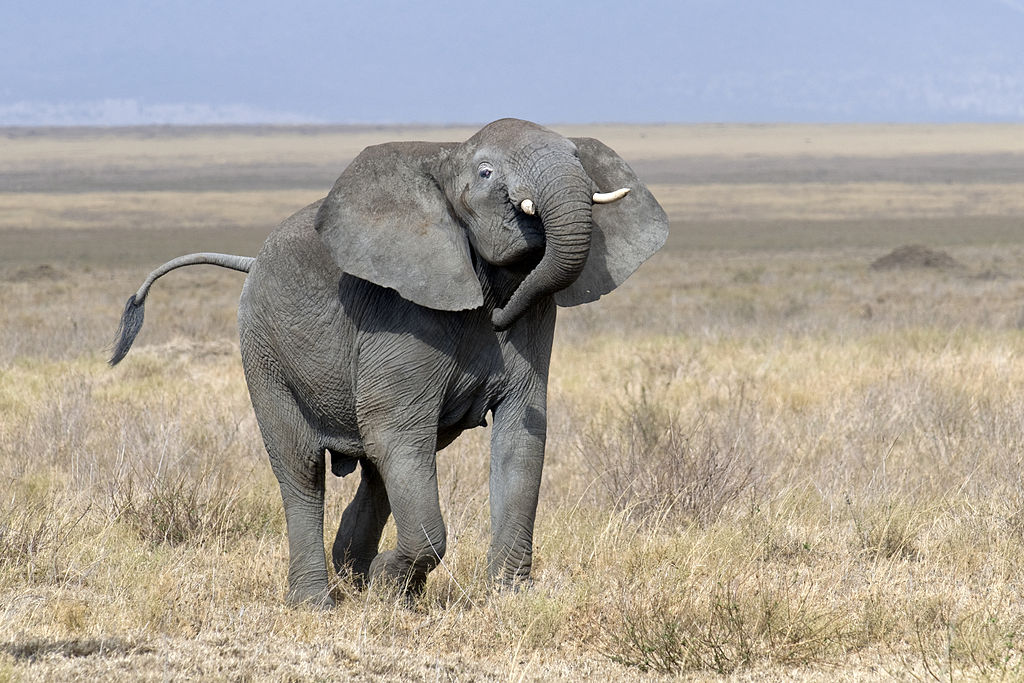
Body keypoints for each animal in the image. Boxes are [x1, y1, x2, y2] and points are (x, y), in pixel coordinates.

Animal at [110, 118, 668, 606]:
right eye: (486, 173)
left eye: (578, 158)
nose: (498, 318)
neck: (445, 156)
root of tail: (253, 260)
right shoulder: (400, 313)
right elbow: (395, 430)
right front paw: (388, 586)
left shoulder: (534, 315)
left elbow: (521, 436)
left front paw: (507, 599)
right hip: (263, 350)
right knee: (303, 469)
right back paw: (319, 602)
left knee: (381, 469)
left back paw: (356, 576)